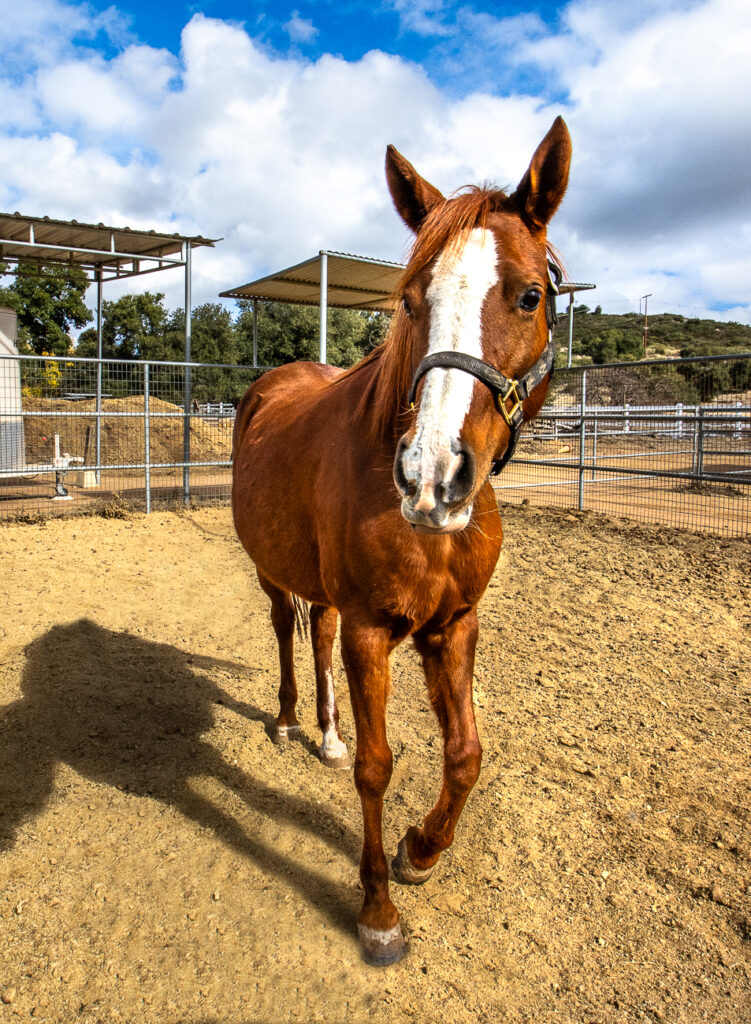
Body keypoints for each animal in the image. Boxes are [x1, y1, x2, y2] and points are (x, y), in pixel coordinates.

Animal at [232, 117, 571, 966]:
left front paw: (419, 850)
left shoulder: (452, 627)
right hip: (271, 571)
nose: (430, 476)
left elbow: (465, 754)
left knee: (315, 632)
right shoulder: (371, 632)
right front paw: (378, 909)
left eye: (530, 295)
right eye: (412, 298)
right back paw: (291, 720)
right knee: (286, 630)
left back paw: (324, 734)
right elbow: (377, 767)